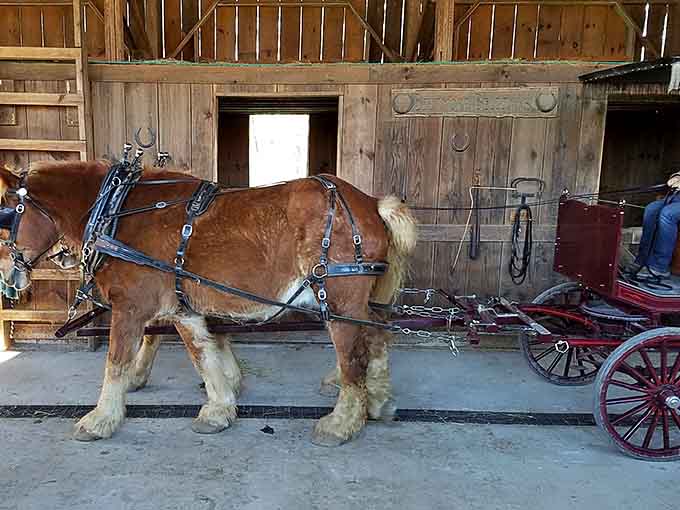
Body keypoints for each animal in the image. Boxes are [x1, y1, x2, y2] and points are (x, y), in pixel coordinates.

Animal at [0, 160, 417, 446]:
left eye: (5, 220)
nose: (7, 280)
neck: (116, 212)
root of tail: (371, 203)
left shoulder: (130, 308)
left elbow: (116, 364)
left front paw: (100, 419)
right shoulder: (183, 308)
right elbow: (203, 354)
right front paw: (219, 409)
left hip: (341, 304)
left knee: (354, 359)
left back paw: (341, 423)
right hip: (368, 303)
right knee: (379, 340)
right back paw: (380, 402)